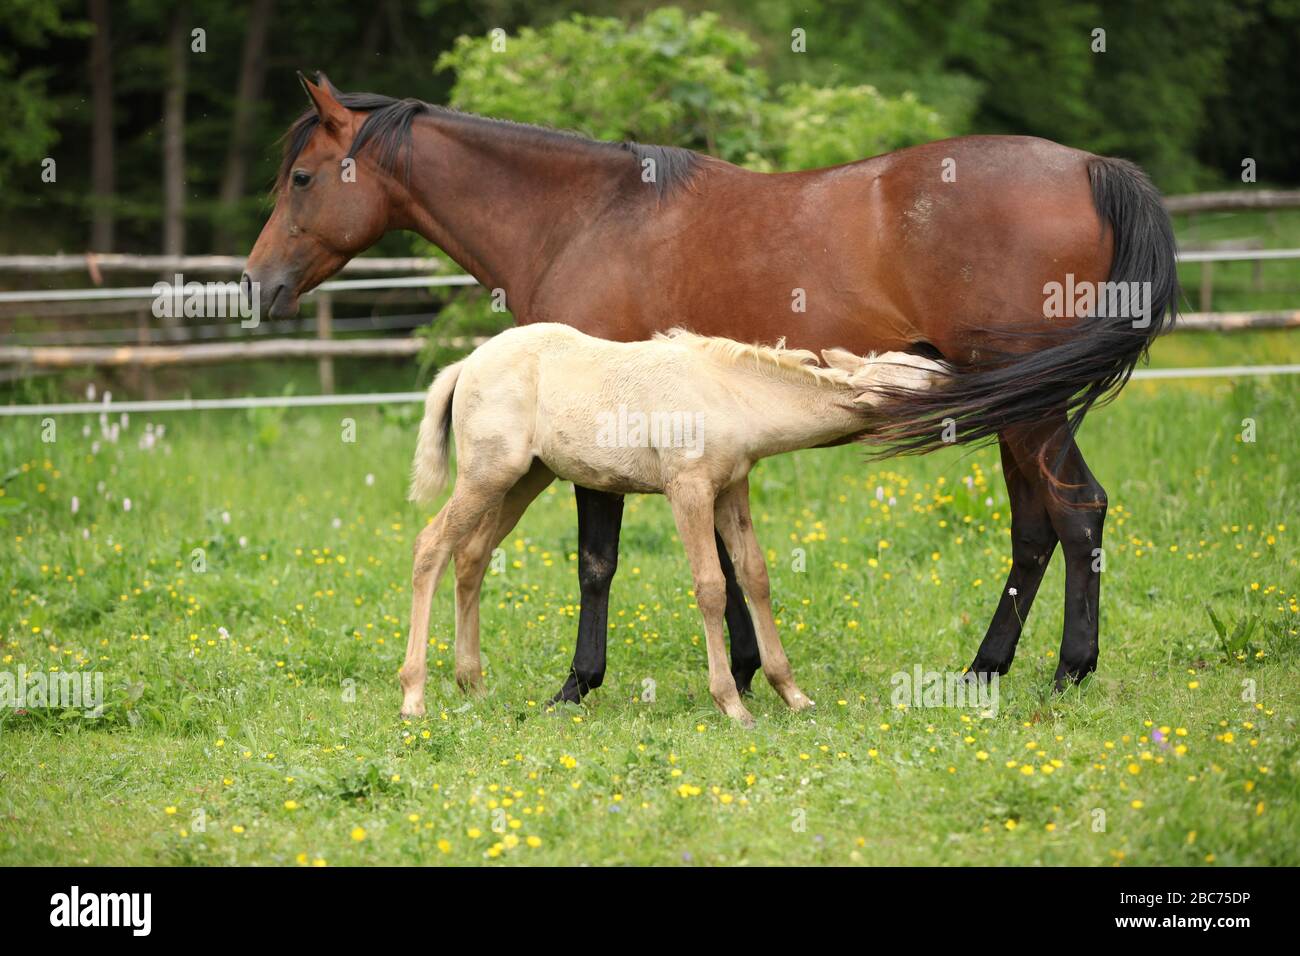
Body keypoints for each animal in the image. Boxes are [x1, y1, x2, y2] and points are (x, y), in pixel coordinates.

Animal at [399, 322, 946, 725]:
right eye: (923, 382)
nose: (960, 375)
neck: (727, 394)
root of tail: (467, 364)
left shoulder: (732, 489)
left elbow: (755, 576)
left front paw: (792, 693)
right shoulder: (689, 489)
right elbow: (711, 586)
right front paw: (731, 704)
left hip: (522, 480)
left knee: (471, 557)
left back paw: (473, 684)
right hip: (486, 475)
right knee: (430, 547)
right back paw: (414, 696)